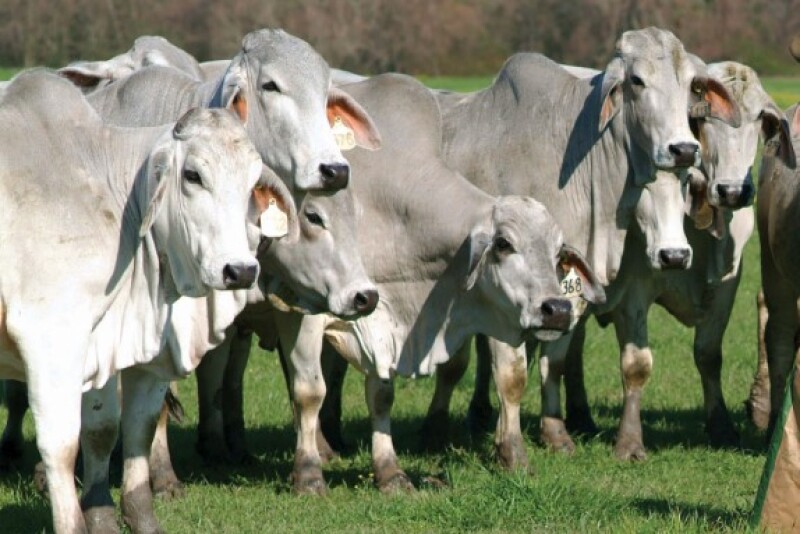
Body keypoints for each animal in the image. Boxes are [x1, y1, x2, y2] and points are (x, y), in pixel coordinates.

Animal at [0, 69, 269, 533]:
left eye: (253, 182)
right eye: (193, 175)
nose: (240, 270)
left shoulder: (109, 341)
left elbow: (121, 428)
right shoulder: (51, 336)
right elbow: (61, 446)